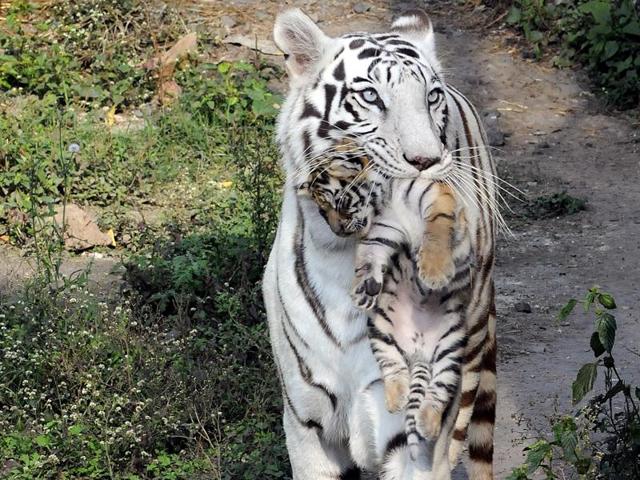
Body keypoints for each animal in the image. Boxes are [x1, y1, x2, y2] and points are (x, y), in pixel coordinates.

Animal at [298, 151, 473, 464]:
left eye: (337, 204)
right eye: (321, 211)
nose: (337, 230)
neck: (387, 201)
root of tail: (419, 351)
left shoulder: (436, 200)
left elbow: (436, 233)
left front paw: (434, 272)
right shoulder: (382, 231)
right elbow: (368, 257)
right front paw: (362, 290)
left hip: (450, 347)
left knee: (438, 391)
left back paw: (428, 423)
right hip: (381, 329)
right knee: (393, 368)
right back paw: (395, 399)